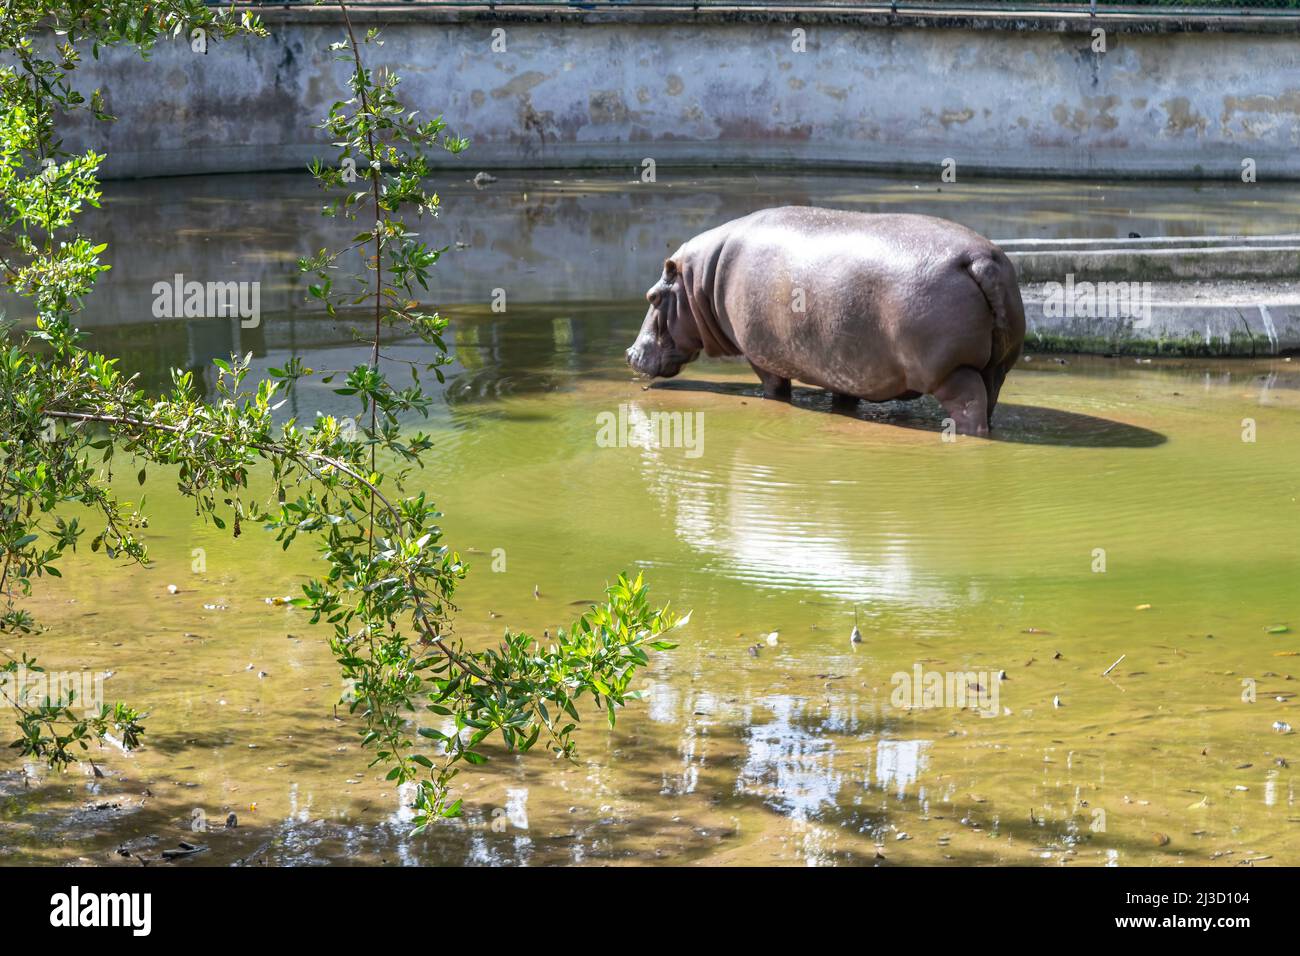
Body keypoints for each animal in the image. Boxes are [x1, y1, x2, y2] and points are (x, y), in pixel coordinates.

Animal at [625, 206, 1025, 436]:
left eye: (653, 296)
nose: (629, 354)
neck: (700, 283)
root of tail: (980, 259)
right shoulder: (847, 363)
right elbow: (844, 397)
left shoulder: (760, 355)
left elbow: (774, 389)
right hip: (997, 368)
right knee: (989, 398)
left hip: (951, 374)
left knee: (970, 409)